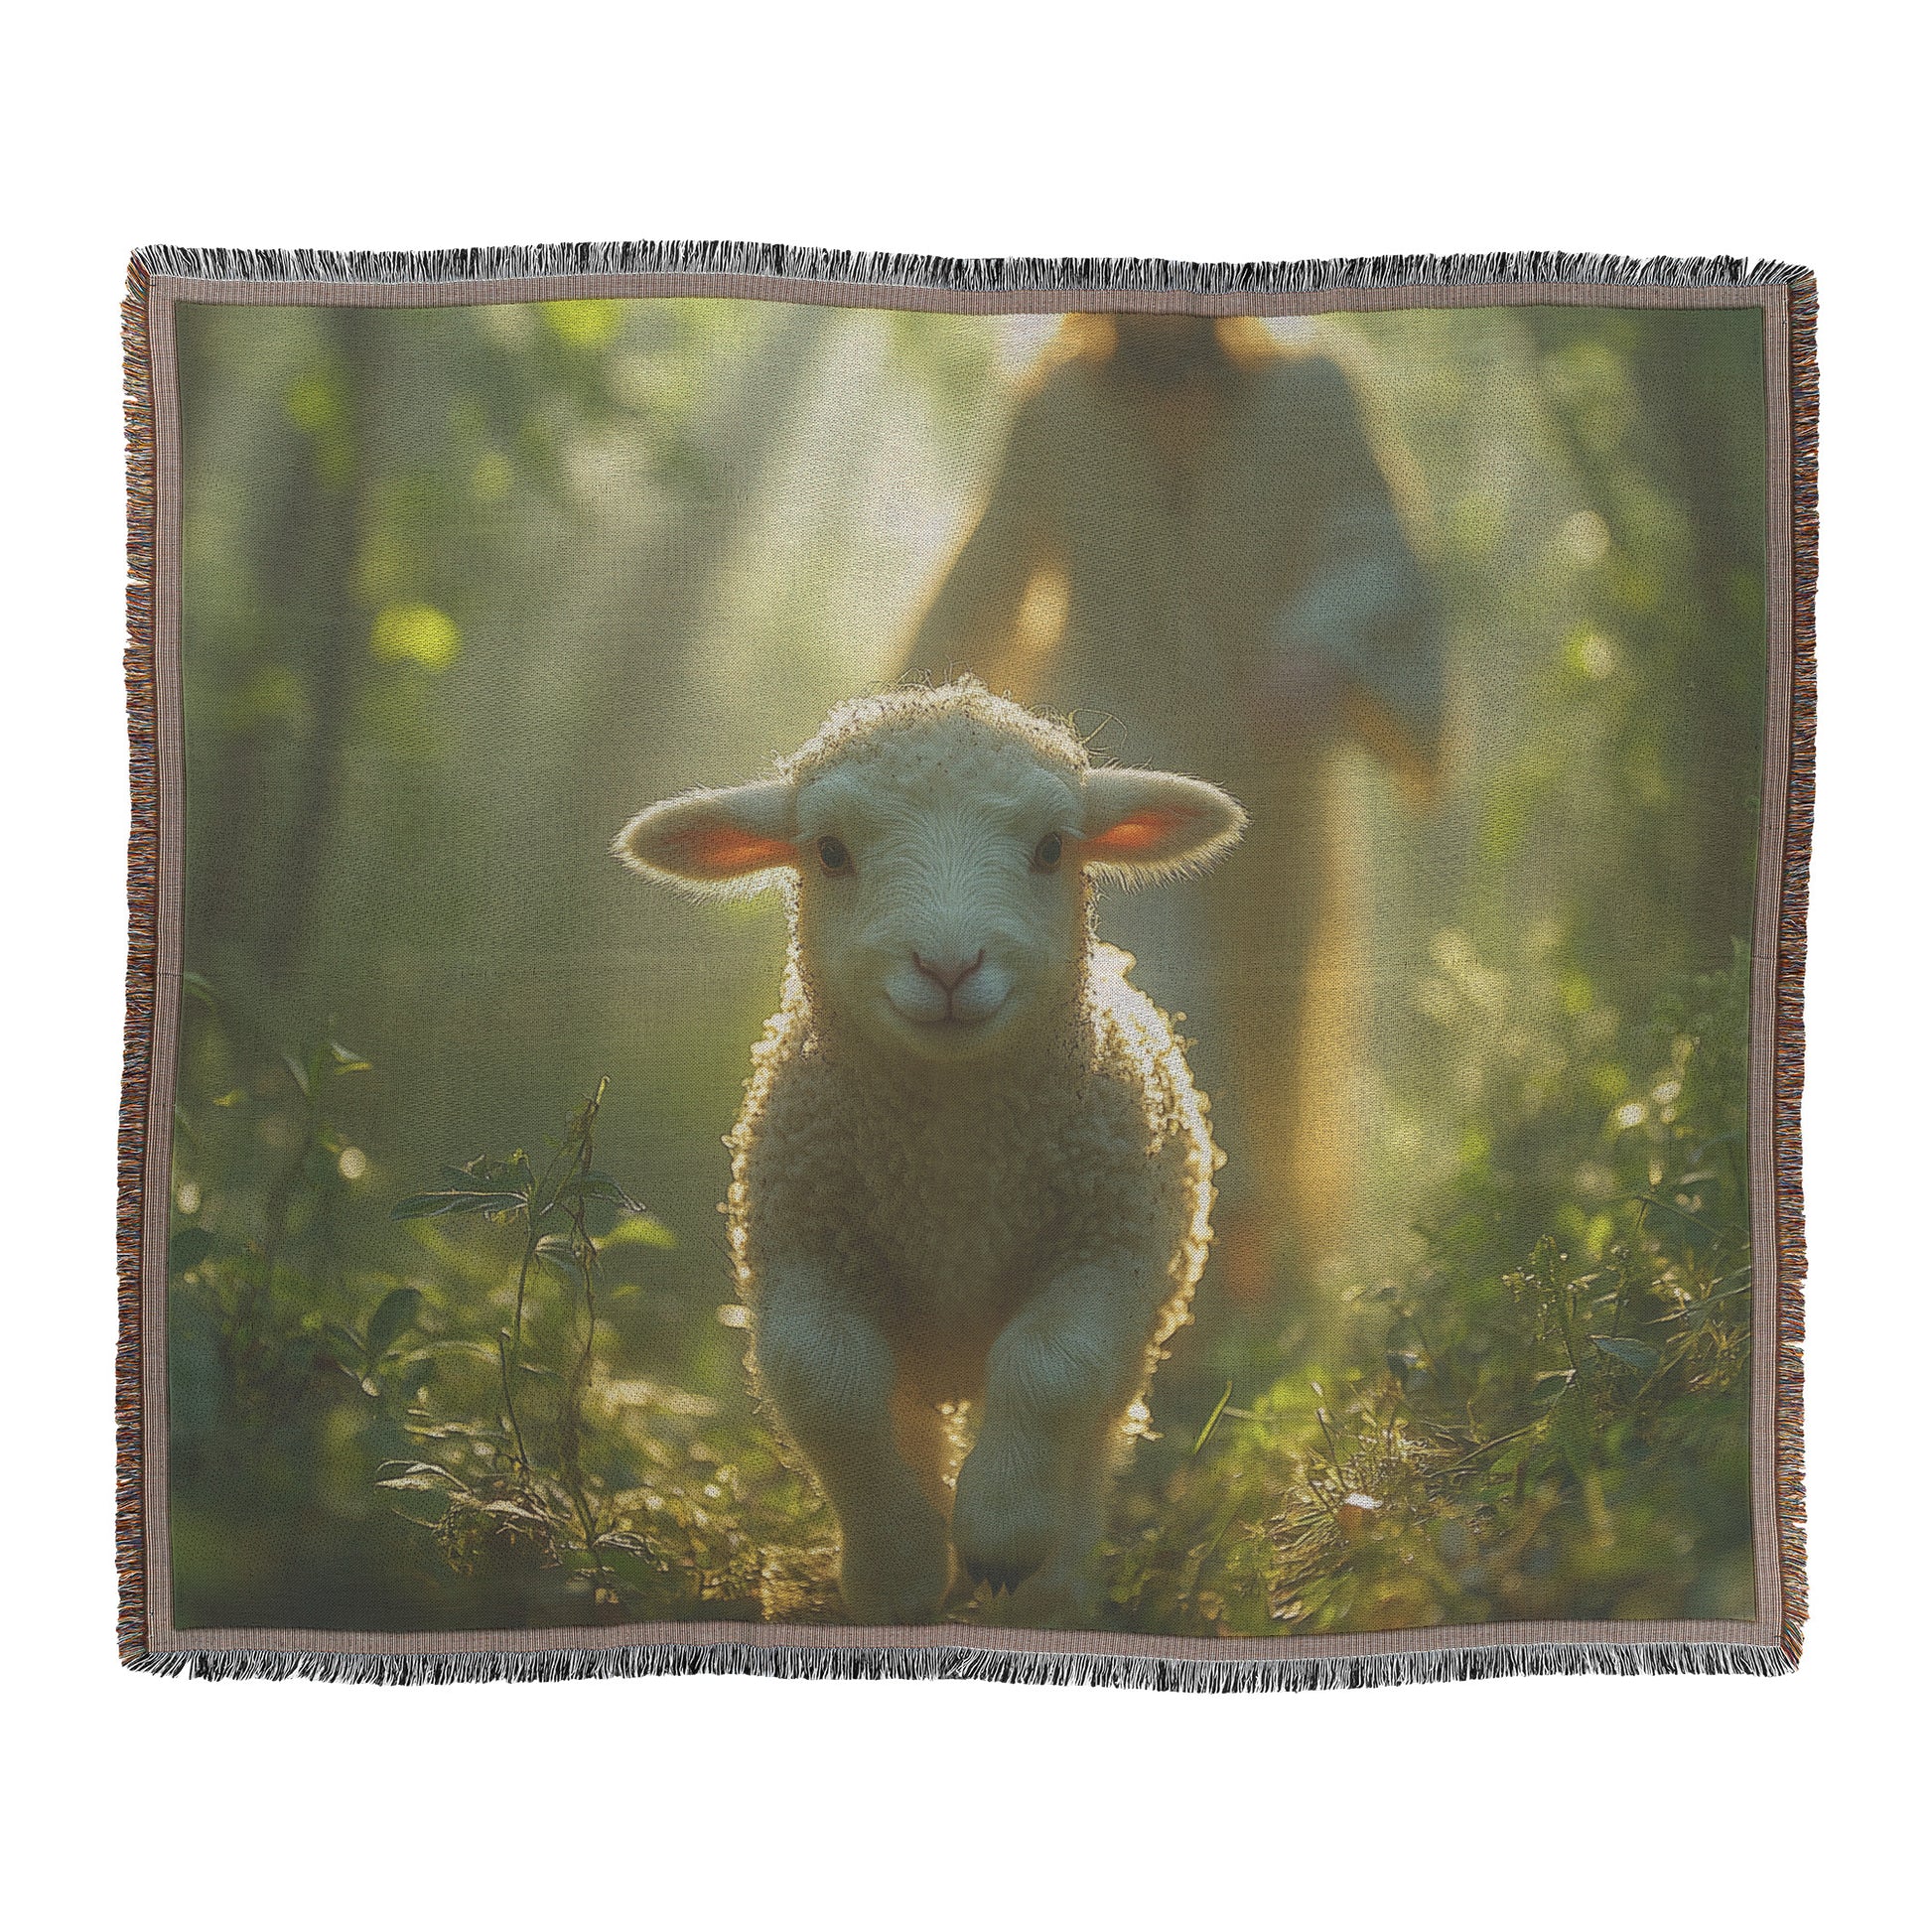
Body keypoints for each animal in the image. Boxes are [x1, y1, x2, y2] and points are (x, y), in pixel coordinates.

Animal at [615, 677, 1246, 1625]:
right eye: (830, 852)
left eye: (1051, 848)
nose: (949, 967)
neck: (955, 1162)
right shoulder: (803, 1245)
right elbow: (825, 1384)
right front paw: (898, 1569)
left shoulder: (1112, 1249)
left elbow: (1052, 1367)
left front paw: (1001, 1534)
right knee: (904, 1416)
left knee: (1090, 1441)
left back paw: (1051, 1592)